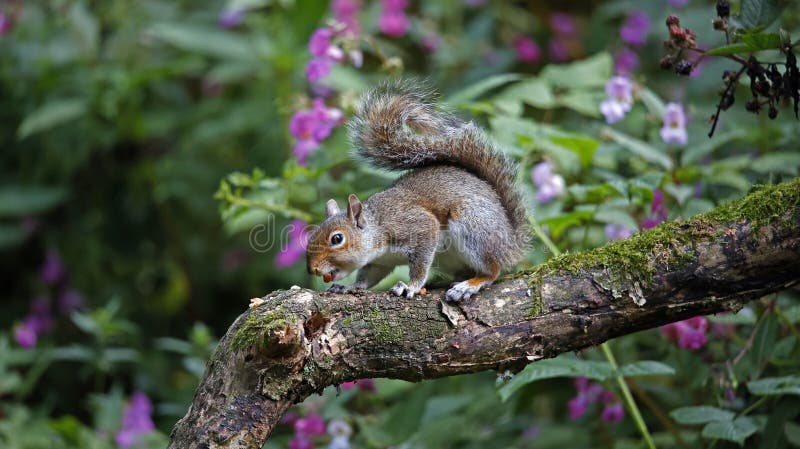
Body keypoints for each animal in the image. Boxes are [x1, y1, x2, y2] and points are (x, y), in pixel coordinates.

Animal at [305, 80, 528, 301]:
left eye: (337, 239)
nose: (312, 269)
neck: (377, 228)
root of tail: (512, 244)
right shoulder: (379, 262)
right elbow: (368, 277)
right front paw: (350, 286)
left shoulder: (417, 227)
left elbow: (420, 264)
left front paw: (411, 286)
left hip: (475, 226)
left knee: (493, 269)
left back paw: (470, 285)